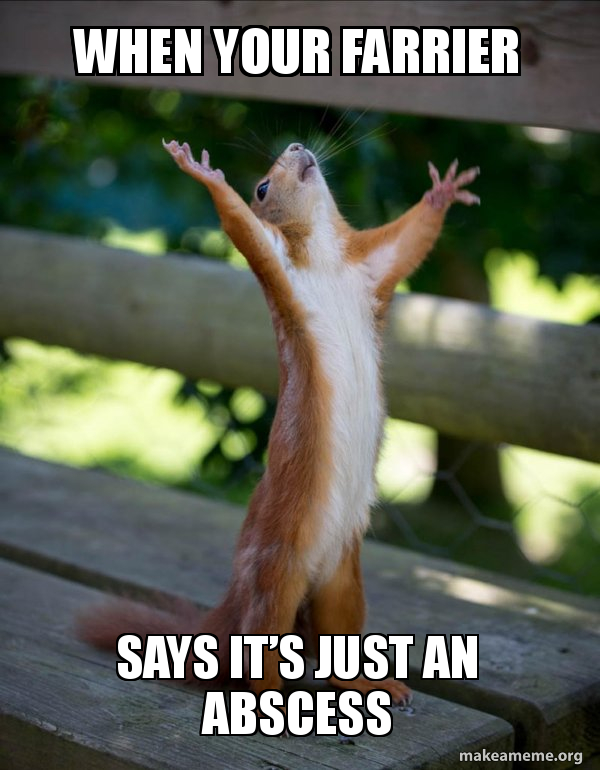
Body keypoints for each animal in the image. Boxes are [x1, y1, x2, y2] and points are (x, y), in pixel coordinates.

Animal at [77, 138, 479, 707]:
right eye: (262, 187)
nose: (296, 146)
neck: (327, 260)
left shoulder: (372, 267)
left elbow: (410, 240)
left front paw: (443, 191)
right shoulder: (277, 265)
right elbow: (241, 226)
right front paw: (204, 173)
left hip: (344, 582)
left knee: (338, 642)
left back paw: (371, 681)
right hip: (275, 573)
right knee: (259, 648)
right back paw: (272, 696)